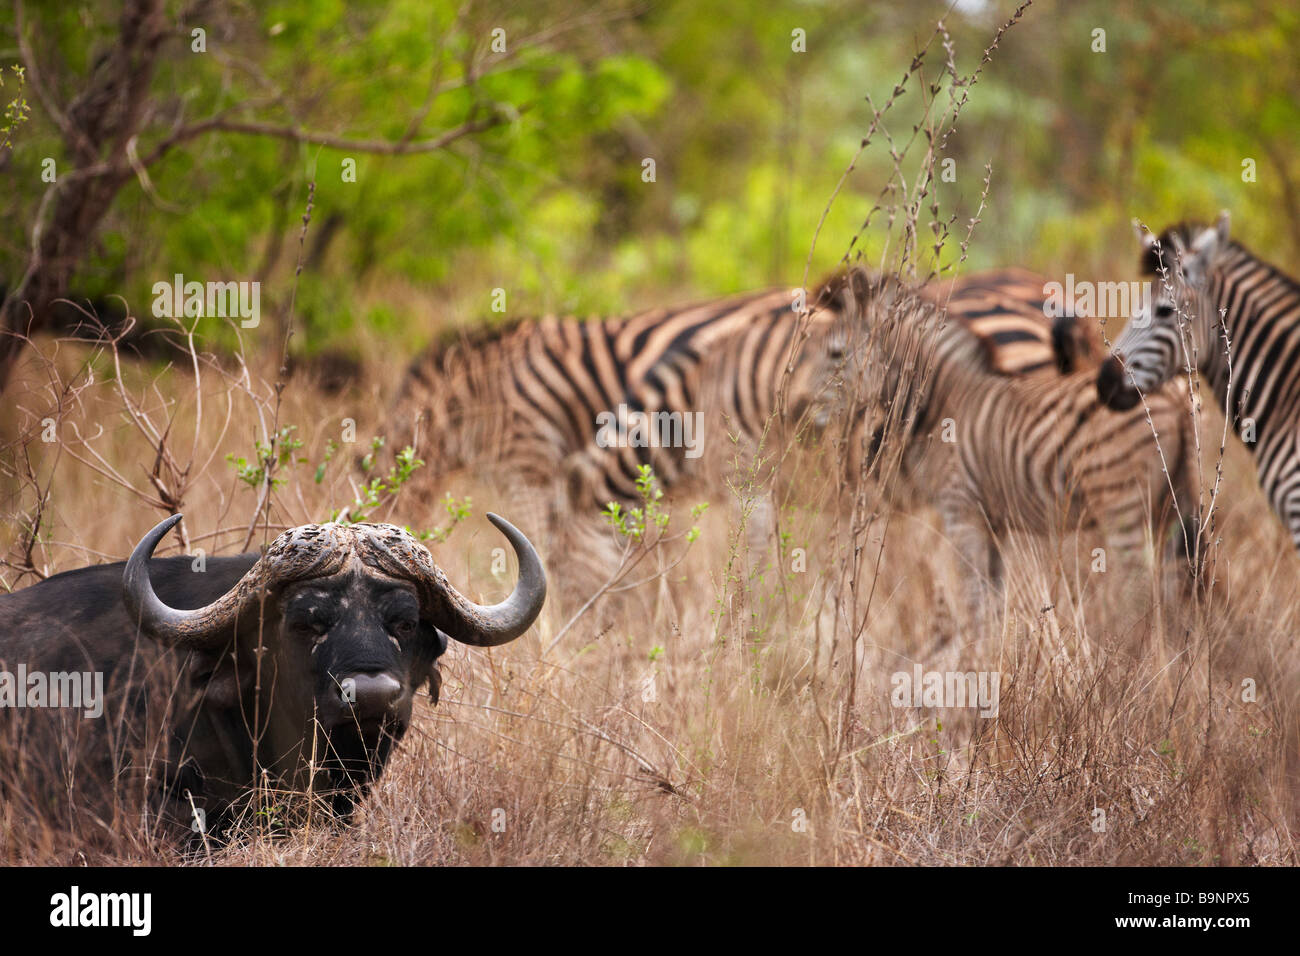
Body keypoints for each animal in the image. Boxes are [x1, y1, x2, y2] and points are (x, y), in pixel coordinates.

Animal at [841, 270, 1201, 612]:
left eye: (839, 354)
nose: (867, 458)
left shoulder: (962, 511)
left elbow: (973, 596)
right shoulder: (987, 519)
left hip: (1119, 503)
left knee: (1138, 586)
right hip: (1171, 498)